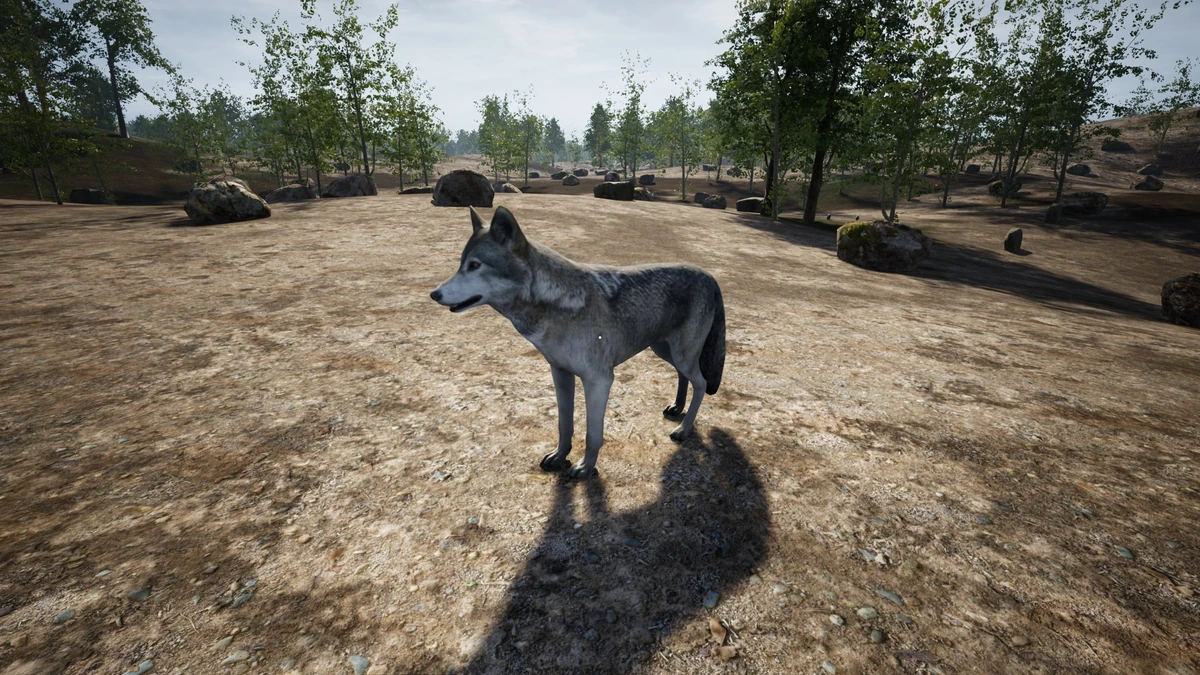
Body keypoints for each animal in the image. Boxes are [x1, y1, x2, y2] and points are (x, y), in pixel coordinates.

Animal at [430, 206, 725, 478]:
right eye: (461, 264)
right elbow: (565, 424)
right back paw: (677, 408)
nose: (434, 294)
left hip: (681, 353)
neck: (558, 307)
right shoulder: (560, 373)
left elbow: (592, 434)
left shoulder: (600, 381)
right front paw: (560, 457)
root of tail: (710, 276)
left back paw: (684, 428)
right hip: (664, 350)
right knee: (683, 376)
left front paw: (586, 467)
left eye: (474, 265)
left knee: (701, 383)